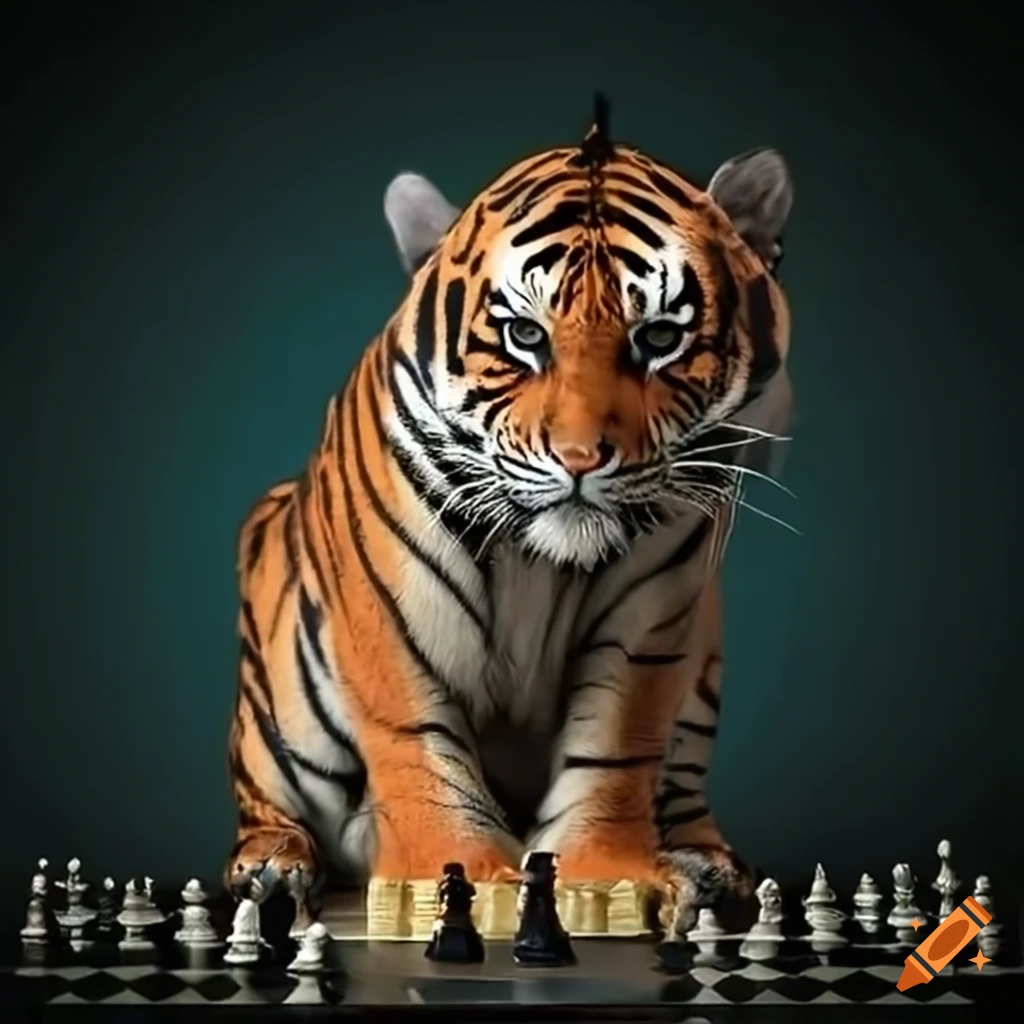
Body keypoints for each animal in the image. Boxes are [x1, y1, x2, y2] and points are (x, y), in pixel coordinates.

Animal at [226, 99, 794, 937]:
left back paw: (707, 865)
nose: (582, 458)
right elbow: (419, 745)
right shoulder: (390, 615)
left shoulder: (652, 609)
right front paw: (450, 877)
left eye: (659, 338)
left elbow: (615, 745)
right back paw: (272, 868)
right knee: (273, 806)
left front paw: (607, 876)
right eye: (525, 336)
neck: (543, 565)